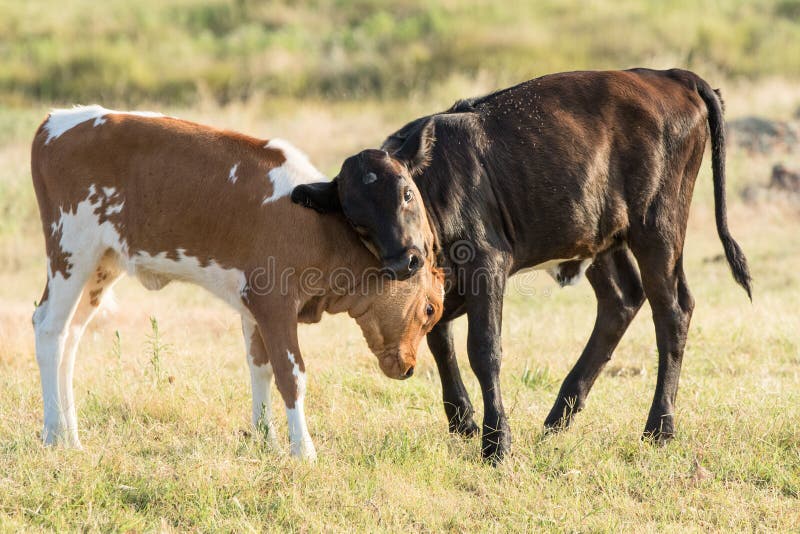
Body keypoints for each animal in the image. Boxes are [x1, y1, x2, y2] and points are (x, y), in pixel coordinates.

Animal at [30, 106, 444, 460]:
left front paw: (266, 440)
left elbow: (260, 366)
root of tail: (56, 120)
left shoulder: (252, 305)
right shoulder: (274, 303)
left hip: (100, 265)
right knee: (50, 329)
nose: (409, 367)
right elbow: (291, 373)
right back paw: (52, 434)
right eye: (430, 309)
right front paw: (303, 450)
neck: (317, 227)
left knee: (72, 335)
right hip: (71, 251)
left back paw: (71, 436)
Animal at [292, 69, 752, 463]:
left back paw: (659, 427)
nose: (406, 260)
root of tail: (667, 76)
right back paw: (559, 417)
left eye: (406, 192)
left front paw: (496, 442)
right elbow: (439, 338)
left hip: (658, 225)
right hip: (602, 235)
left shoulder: (487, 262)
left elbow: (483, 349)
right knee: (622, 299)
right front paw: (463, 420)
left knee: (672, 311)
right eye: (357, 222)